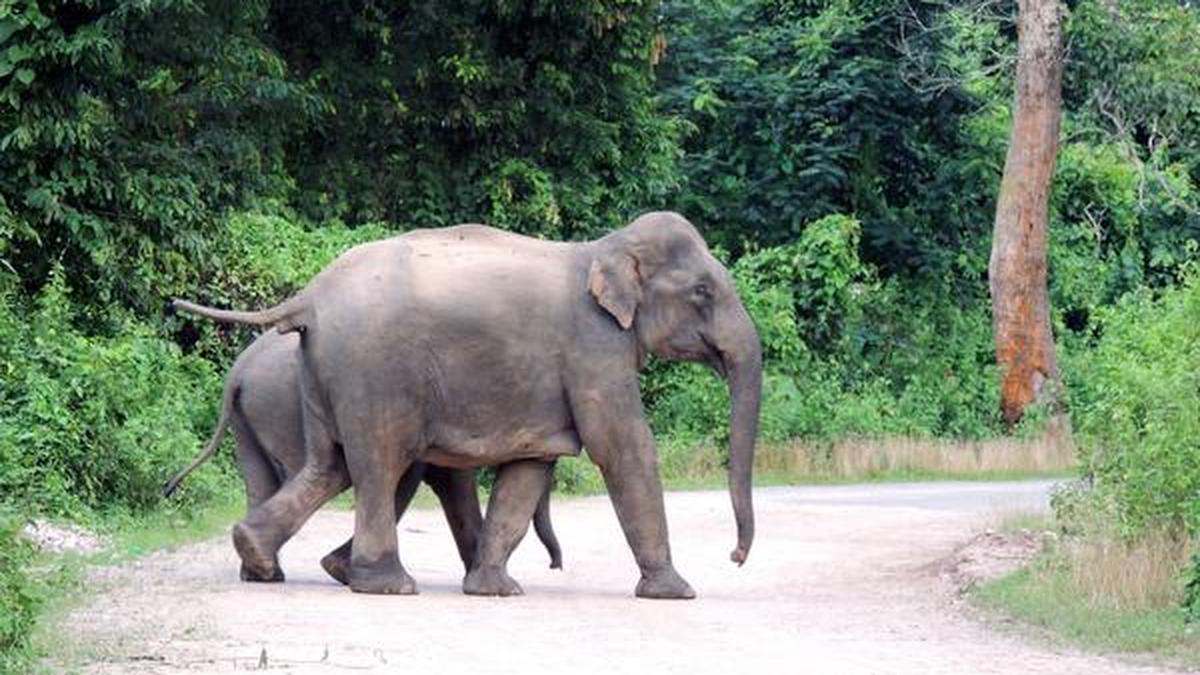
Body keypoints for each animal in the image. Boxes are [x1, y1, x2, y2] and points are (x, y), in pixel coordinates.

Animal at [162, 329, 562, 583]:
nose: (555, 566)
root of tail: (238, 374)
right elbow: (424, 480)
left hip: (248, 421)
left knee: (261, 482)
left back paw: (263, 574)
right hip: (279, 410)